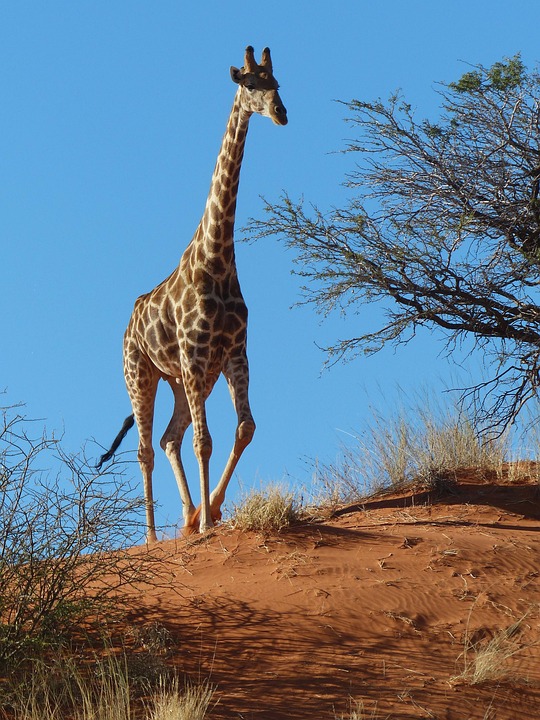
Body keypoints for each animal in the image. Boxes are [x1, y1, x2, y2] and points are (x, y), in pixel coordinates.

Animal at [97, 46, 287, 542]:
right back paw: (151, 536)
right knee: (146, 447)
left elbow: (245, 428)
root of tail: (128, 325)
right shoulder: (196, 353)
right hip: (141, 374)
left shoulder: (233, 352)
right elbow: (206, 441)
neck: (216, 261)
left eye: (277, 82)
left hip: (182, 379)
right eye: (249, 83)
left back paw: (185, 517)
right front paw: (205, 523)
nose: (282, 113)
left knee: (169, 438)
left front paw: (210, 511)